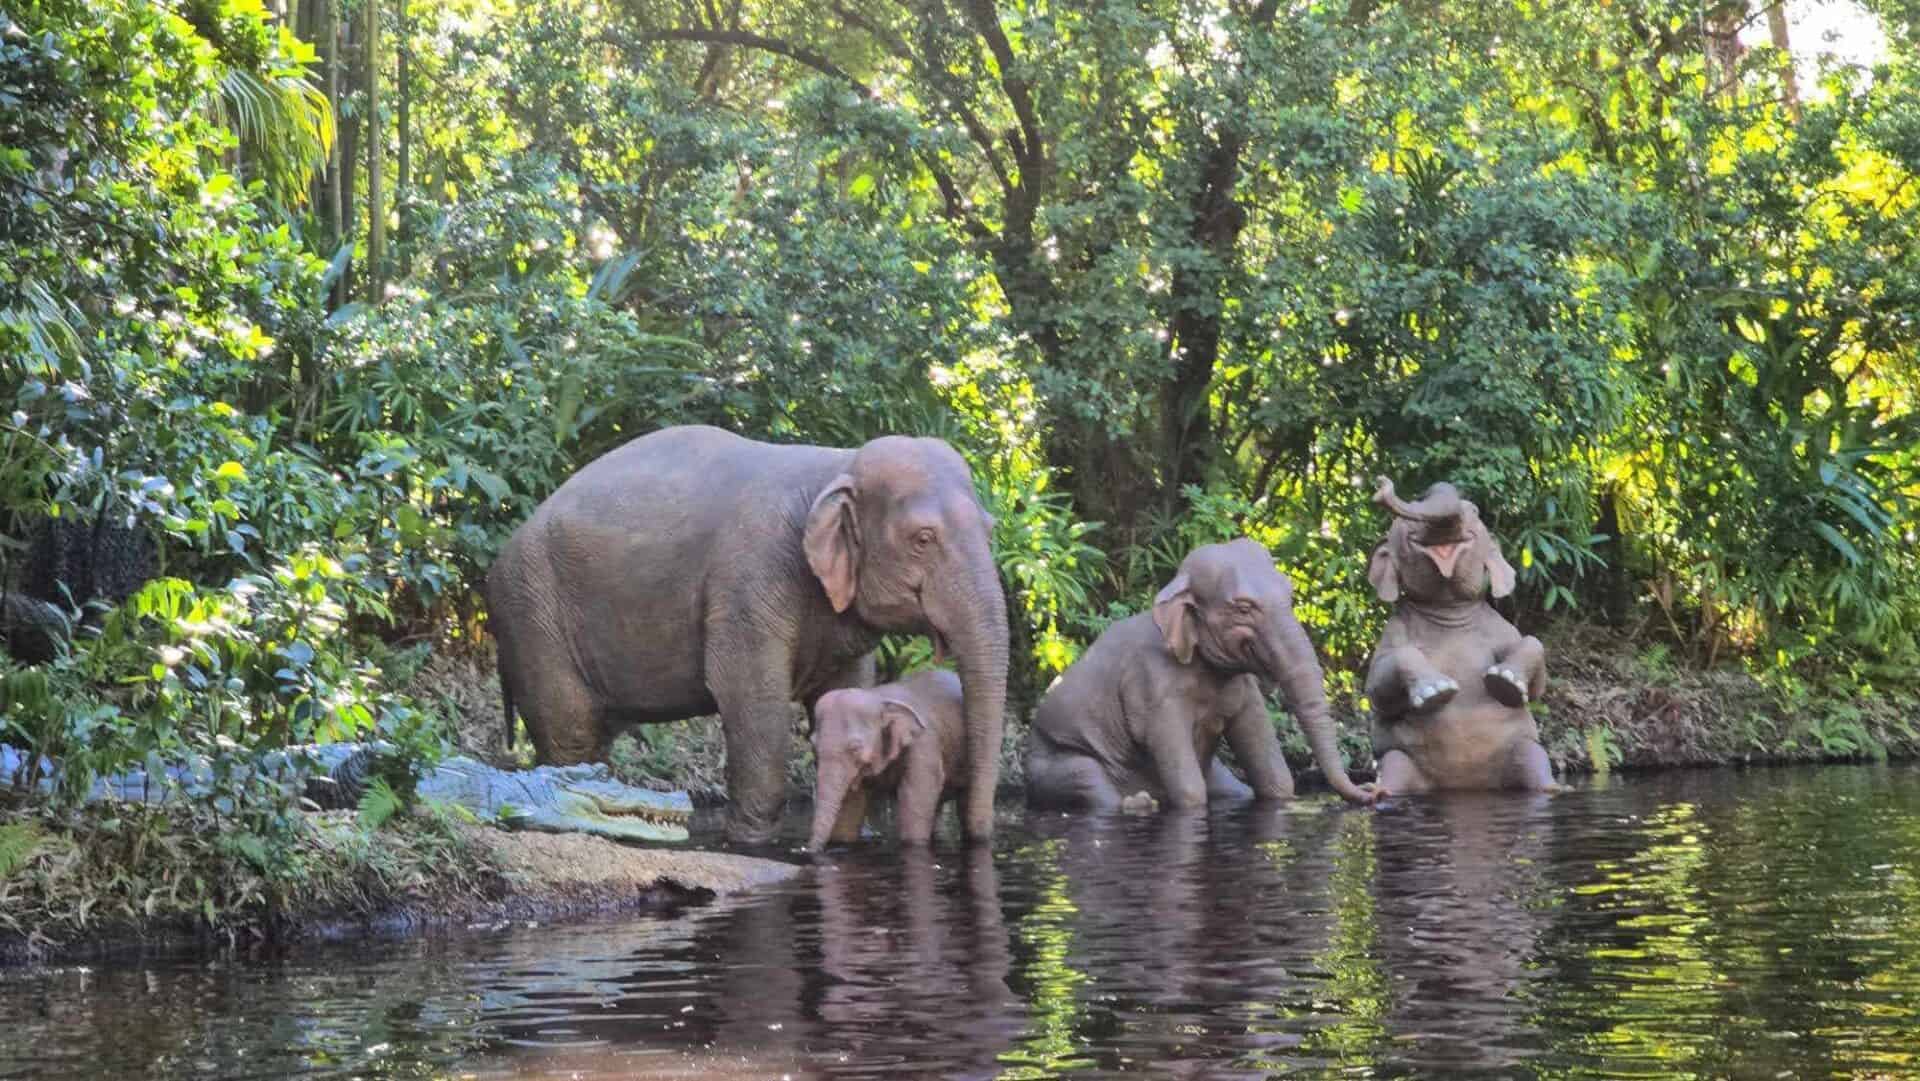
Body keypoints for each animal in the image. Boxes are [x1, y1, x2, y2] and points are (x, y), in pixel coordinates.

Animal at [807, 667, 972, 850]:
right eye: (813, 744)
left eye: (855, 747)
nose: (807, 849)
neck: (879, 697)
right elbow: (851, 804)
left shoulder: (925, 743)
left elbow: (915, 796)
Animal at [1024, 537, 1378, 812]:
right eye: (1244, 609)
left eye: (1290, 594)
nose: (1374, 789)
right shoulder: (1154, 688)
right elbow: (1190, 789)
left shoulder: (1243, 689)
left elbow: (1277, 776)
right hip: (1053, 762)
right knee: (1089, 780)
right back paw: (1139, 803)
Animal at [1365, 475, 1557, 793]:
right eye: (1402, 521)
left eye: (1476, 512)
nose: (1381, 486)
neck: (1449, 610)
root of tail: (1468, 784)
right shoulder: (1393, 629)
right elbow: (1377, 689)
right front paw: (1436, 692)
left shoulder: (1501, 627)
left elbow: (1535, 678)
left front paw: (1505, 682)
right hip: (1404, 759)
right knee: (1395, 764)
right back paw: (1378, 791)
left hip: (1519, 750)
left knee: (1532, 757)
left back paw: (1555, 788)